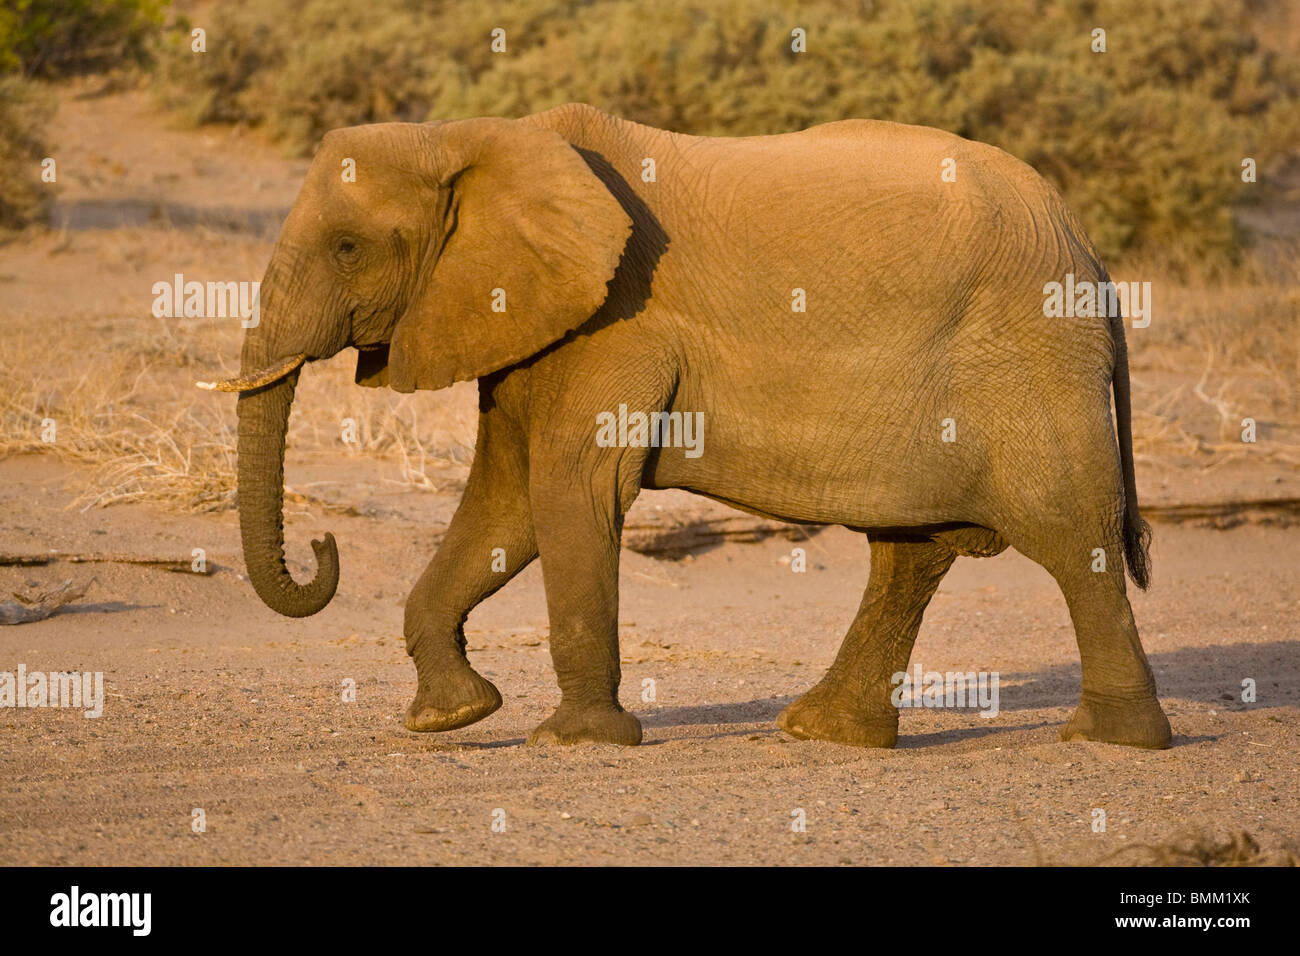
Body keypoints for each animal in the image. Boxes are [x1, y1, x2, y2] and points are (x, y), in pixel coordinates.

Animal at [200, 103, 1172, 750]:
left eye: (348, 249)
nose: (322, 547)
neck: (479, 135)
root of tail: (1090, 253)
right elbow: (506, 503)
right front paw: (453, 715)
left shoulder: (615, 319)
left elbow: (570, 490)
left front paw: (576, 743)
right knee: (912, 550)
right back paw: (823, 734)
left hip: (1028, 356)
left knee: (1069, 533)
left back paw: (1113, 740)